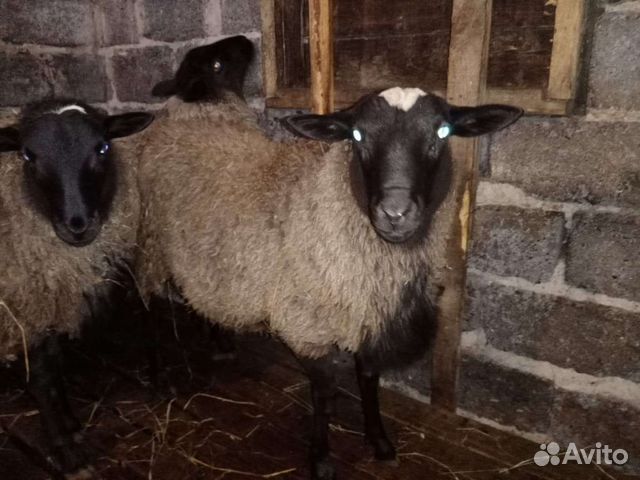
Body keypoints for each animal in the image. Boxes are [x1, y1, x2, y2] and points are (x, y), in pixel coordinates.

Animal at [0, 100, 153, 476]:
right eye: (27, 154)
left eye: (103, 147)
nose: (79, 225)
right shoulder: (26, 306)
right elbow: (42, 376)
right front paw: (65, 450)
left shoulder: (51, 302)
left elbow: (56, 362)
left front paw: (70, 423)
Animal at [138, 40, 522, 479]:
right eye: (357, 135)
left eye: (442, 132)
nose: (394, 213)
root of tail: (186, 110)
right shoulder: (307, 323)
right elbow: (323, 393)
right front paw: (321, 458)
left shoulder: (367, 313)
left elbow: (368, 380)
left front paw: (379, 440)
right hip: (150, 244)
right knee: (149, 306)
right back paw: (157, 374)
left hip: (203, 253)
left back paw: (219, 342)